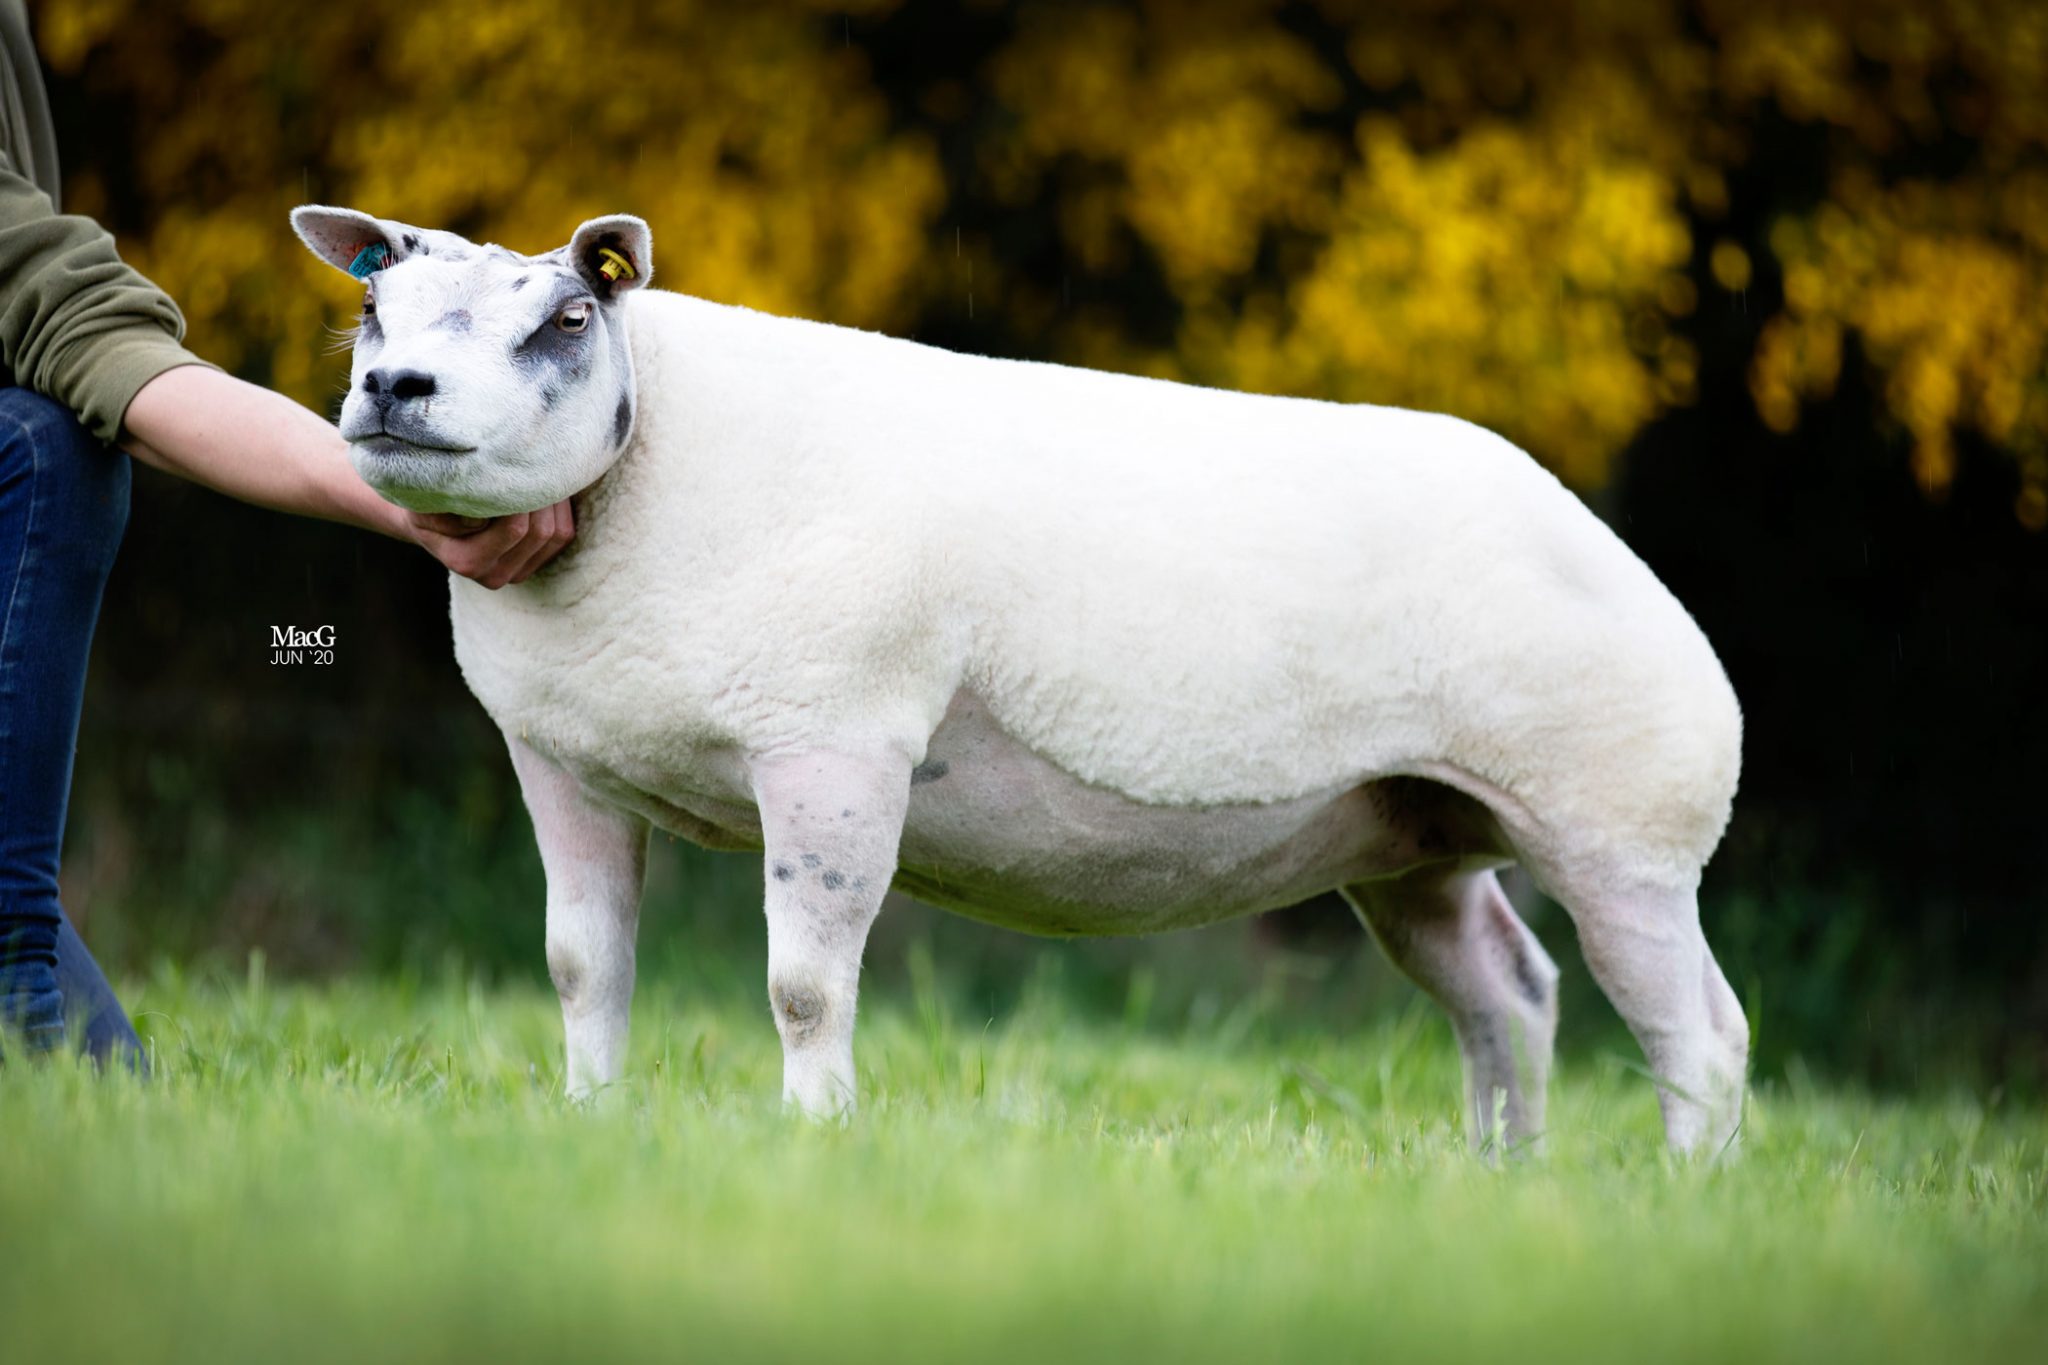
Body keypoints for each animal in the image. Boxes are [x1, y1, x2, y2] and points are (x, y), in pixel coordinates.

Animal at [291, 205, 1749, 1156]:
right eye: (370, 309)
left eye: (570, 317)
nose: (395, 386)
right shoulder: (560, 756)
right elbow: (581, 966)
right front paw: (588, 1124)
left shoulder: (838, 742)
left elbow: (803, 985)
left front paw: (814, 1138)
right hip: (1416, 835)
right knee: (1512, 992)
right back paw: (1502, 1175)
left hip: (1620, 829)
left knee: (1701, 1034)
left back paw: (1687, 1193)